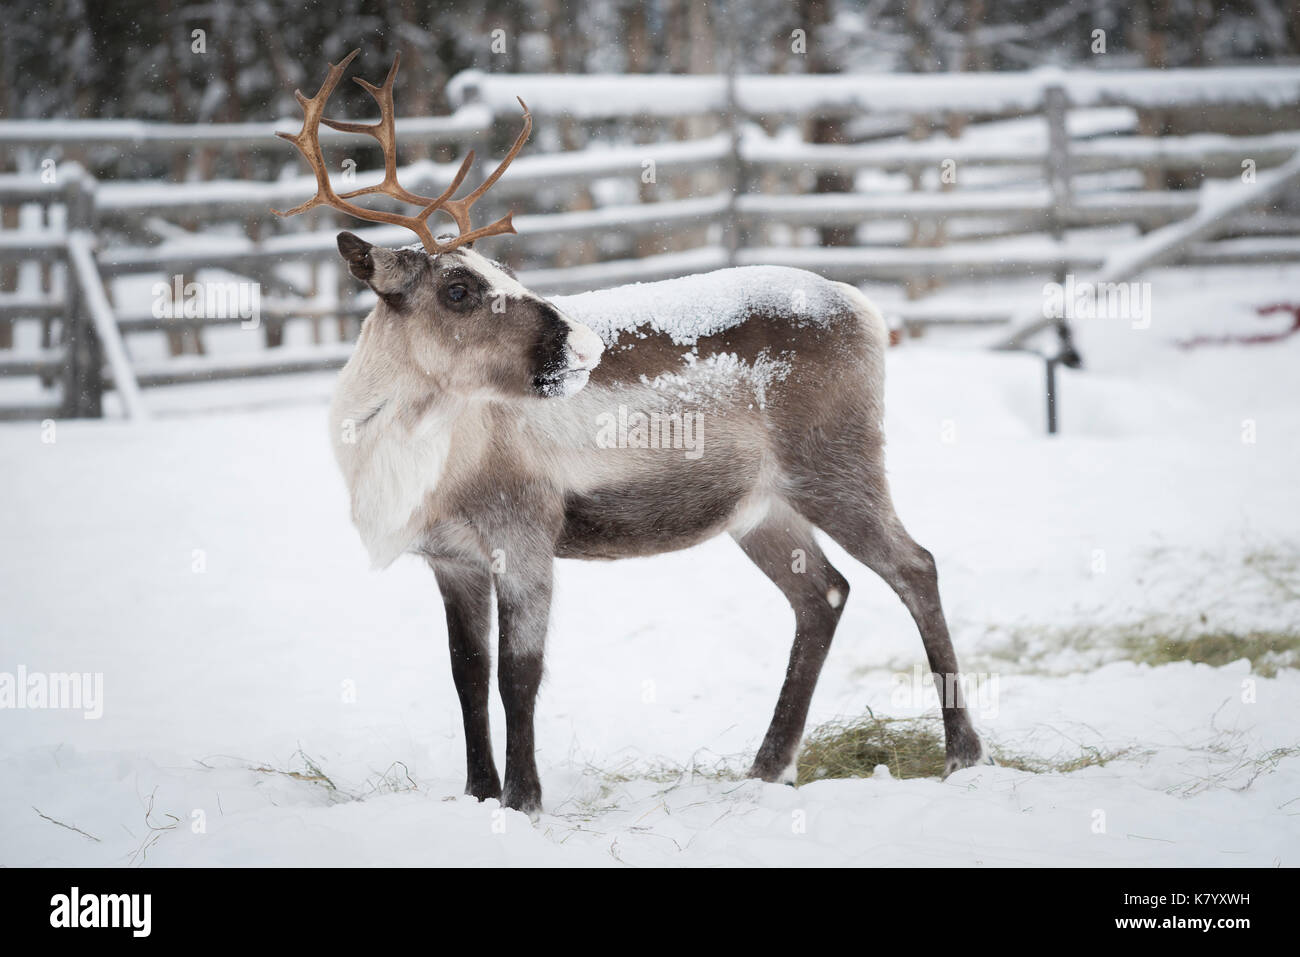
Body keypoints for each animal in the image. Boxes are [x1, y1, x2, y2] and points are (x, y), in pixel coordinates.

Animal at [275, 51, 991, 816]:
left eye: (505, 271)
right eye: (459, 289)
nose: (582, 344)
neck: (405, 456)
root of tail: (864, 306)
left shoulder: (524, 533)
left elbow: (518, 674)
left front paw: (523, 800)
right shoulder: (449, 559)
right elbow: (466, 674)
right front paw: (477, 794)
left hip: (837, 466)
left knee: (915, 565)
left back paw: (963, 754)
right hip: (760, 507)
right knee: (825, 594)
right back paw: (769, 766)